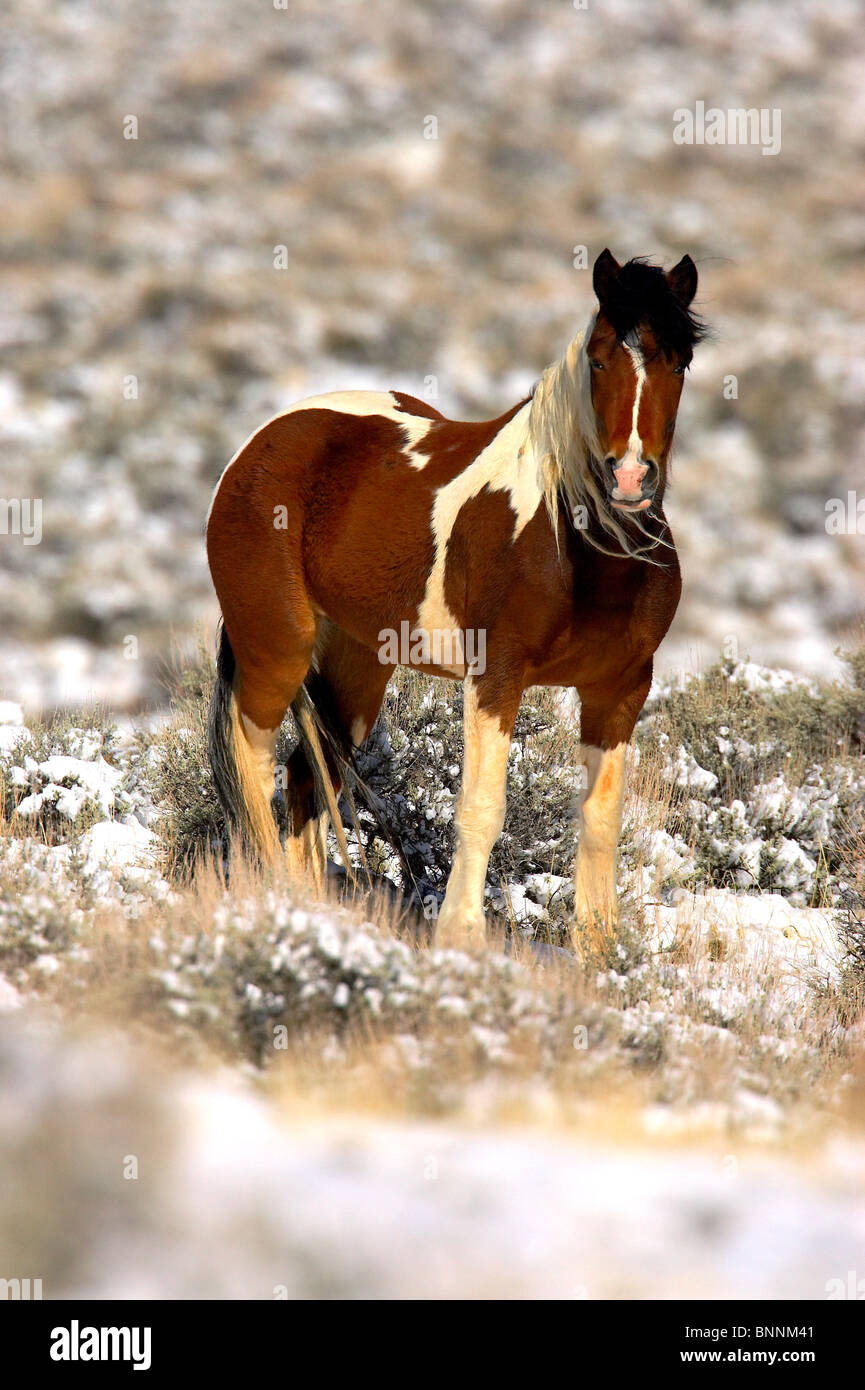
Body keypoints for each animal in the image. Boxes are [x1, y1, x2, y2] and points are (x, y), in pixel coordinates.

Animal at [205, 249, 705, 945]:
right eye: (600, 358)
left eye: (678, 362)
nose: (629, 477)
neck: (581, 544)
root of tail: (261, 442)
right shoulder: (495, 677)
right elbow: (482, 808)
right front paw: (460, 936)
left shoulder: (621, 688)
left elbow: (601, 822)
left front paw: (600, 951)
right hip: (275, 648)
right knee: (253, 763)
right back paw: (270, 892)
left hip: (357, 668)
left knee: (310, 775)